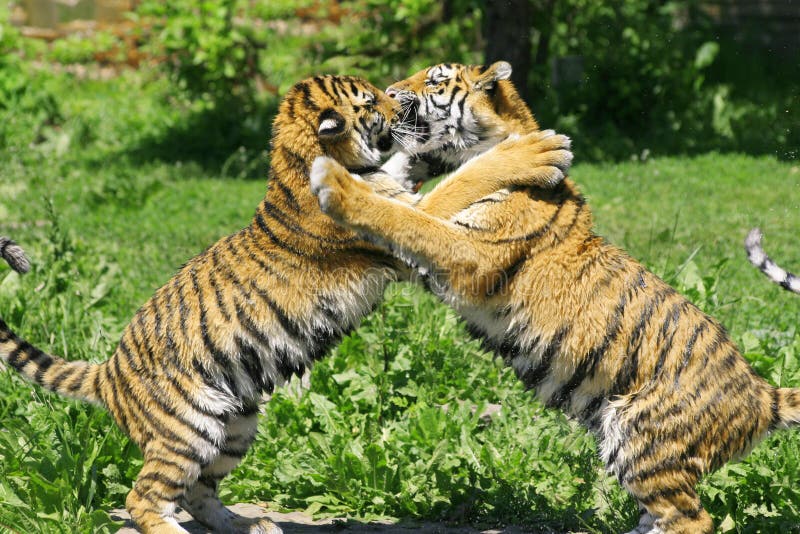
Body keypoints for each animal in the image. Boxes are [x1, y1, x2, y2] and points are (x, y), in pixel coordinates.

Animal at [0, 73, 574, 534]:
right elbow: (461, 182)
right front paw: (538, 151)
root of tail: (109, 371)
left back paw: (249, 525)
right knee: (144, 499)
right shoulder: (404, 222)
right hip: (186, 428)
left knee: (197, 493)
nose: (399, 102)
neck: (300, 161)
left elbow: (411, 162)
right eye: (370, 102)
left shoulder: (399, 189)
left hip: (235, 423)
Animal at [309, 61, 800, 534]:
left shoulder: (470, 256)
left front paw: (336, 185)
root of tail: (762, 394)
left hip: (643, 436)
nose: (390, 92)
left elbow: (405, 218)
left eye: (434, 80)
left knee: (691, 520)